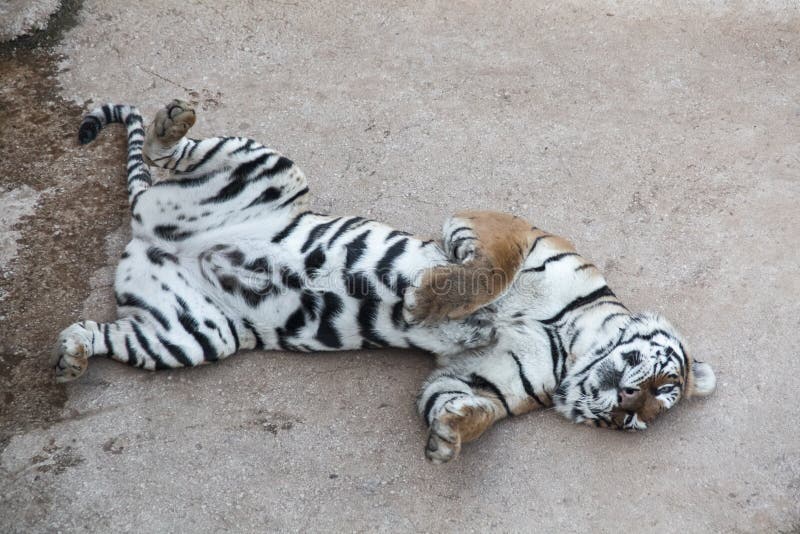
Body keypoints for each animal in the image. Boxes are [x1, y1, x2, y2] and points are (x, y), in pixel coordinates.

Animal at [54, 100, 716, 463]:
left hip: (191, 333)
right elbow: (486, 275)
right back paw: (173, 119)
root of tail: (148, 230)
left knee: (104, 331)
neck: (571, 344)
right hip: (267, 167)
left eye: (639, 420)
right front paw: (424, 300)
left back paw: (69, 358)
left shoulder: (475, 377)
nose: (625, 404)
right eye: (659, 385)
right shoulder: (504, 227)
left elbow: (467, 405)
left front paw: (449, 439)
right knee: (169, 148)